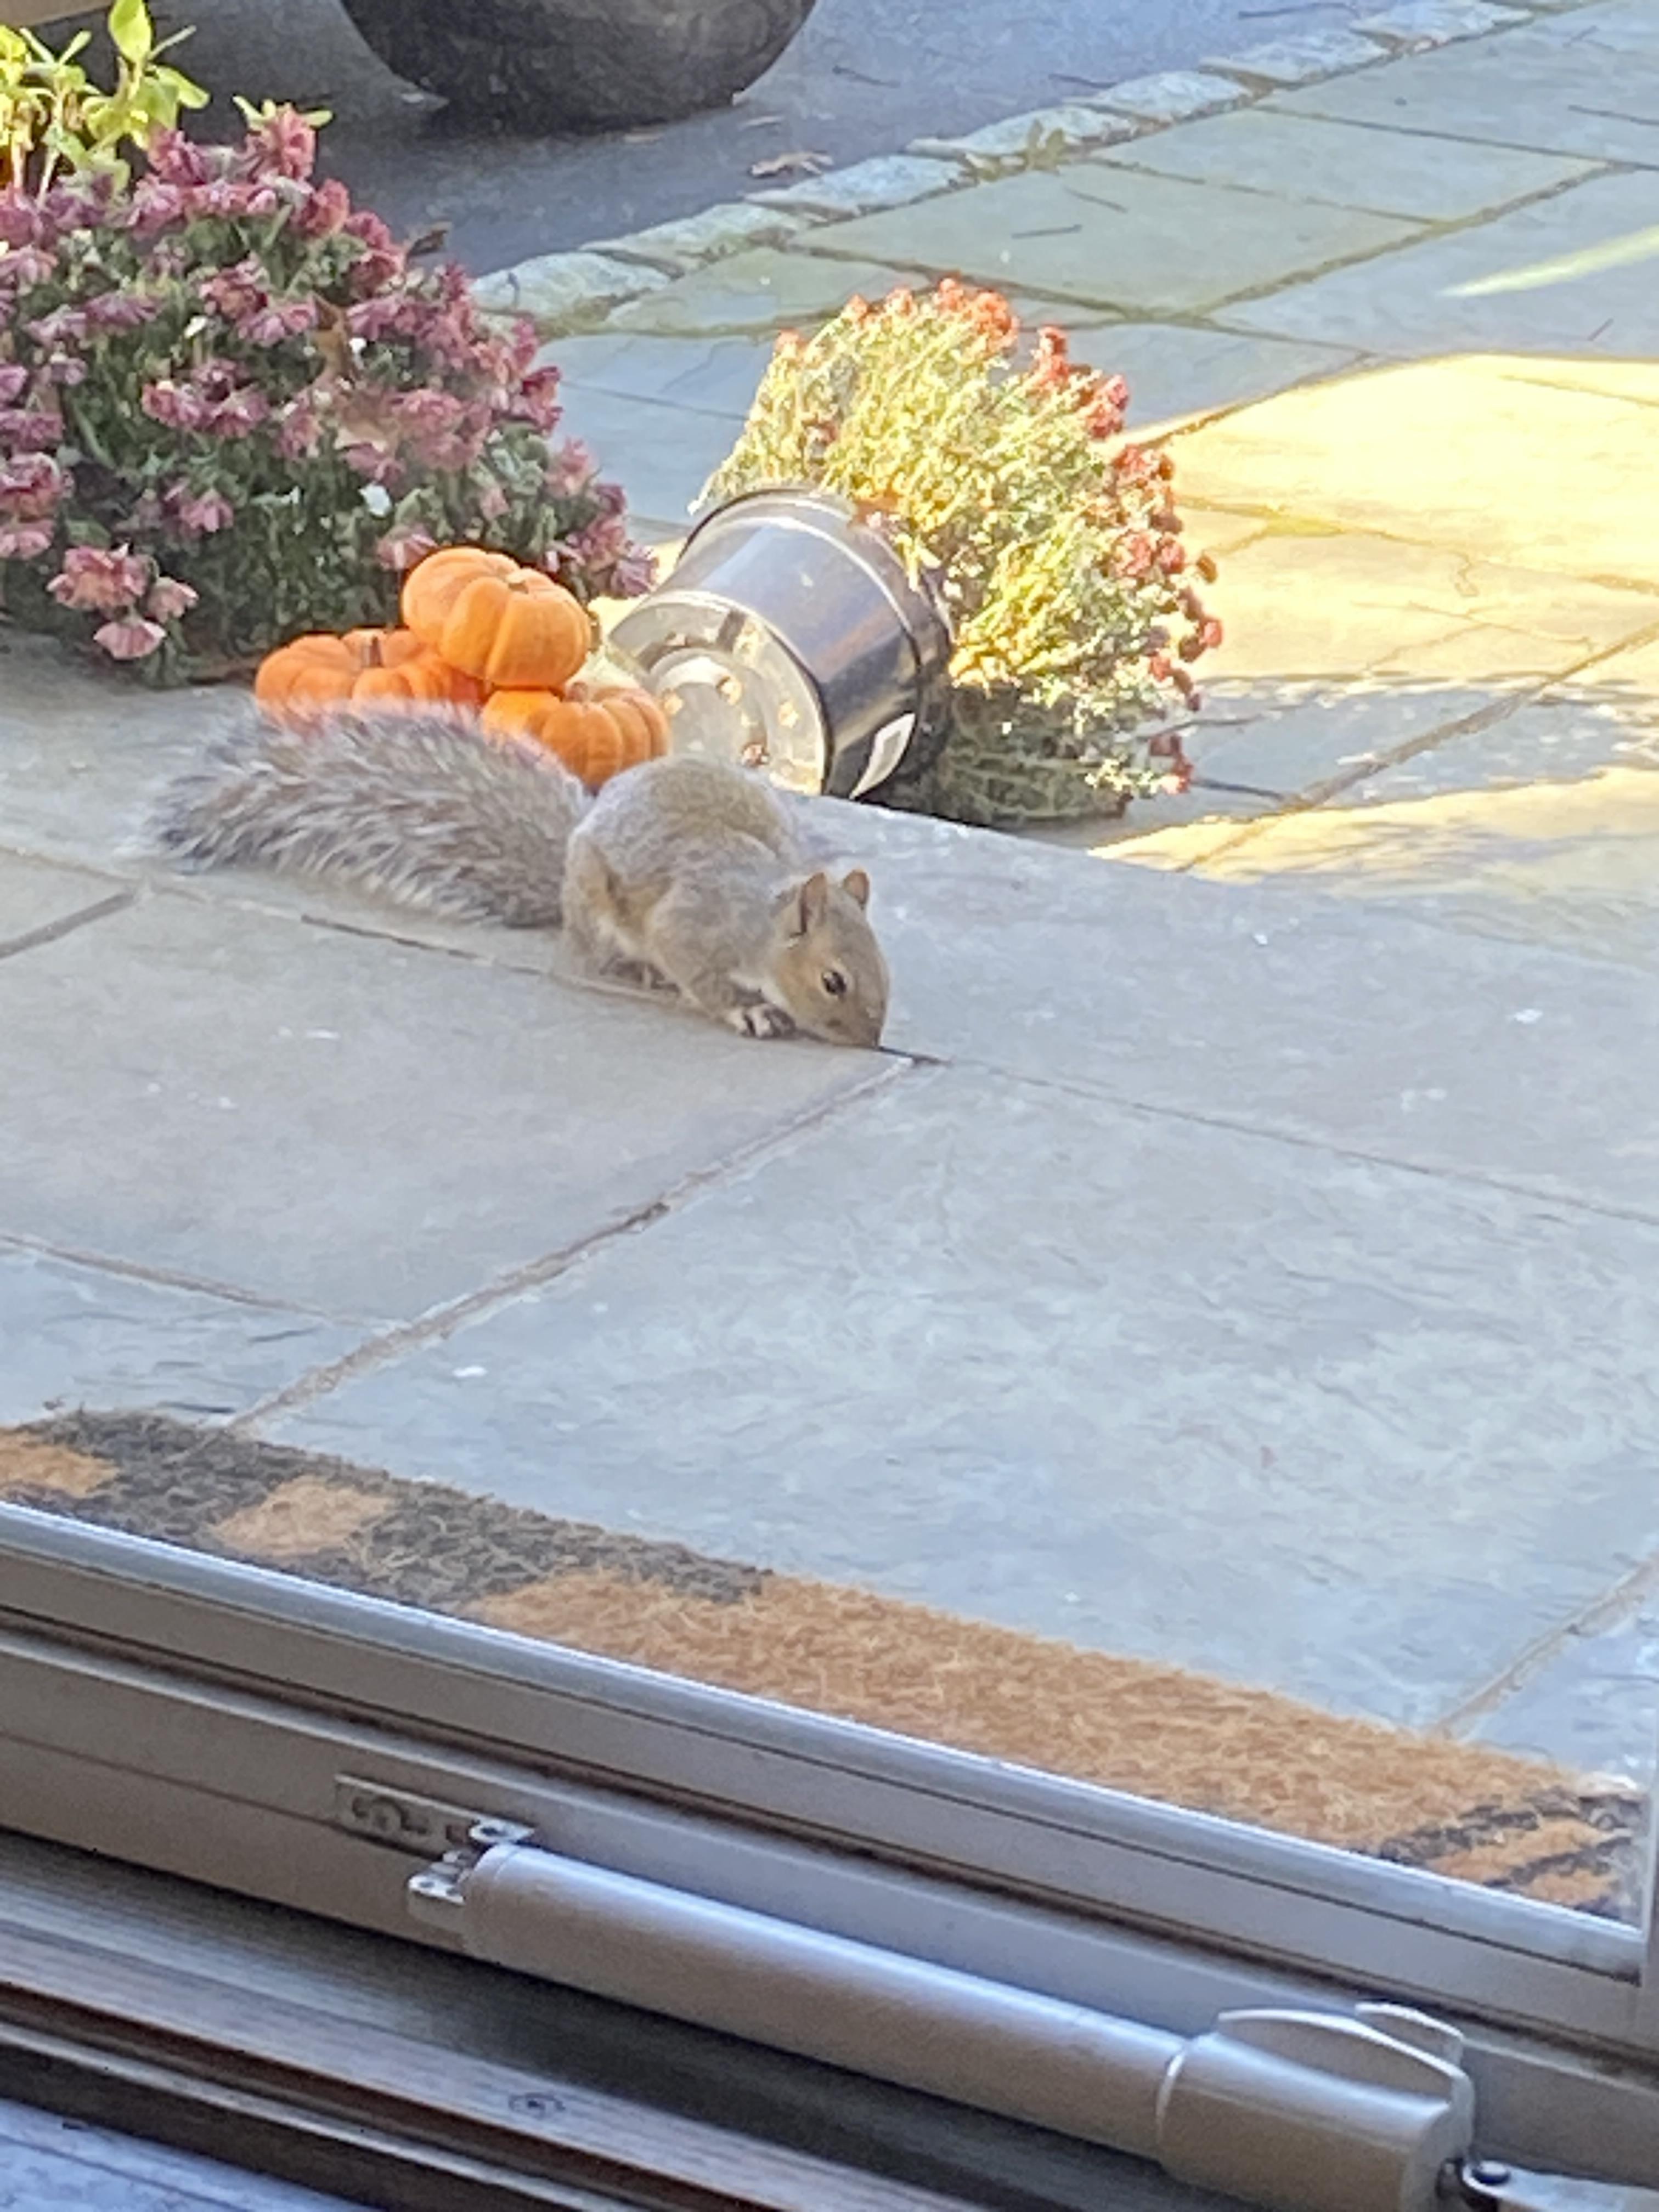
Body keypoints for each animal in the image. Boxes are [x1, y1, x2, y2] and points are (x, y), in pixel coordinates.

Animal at [152, 705, 891, 1048]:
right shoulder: (693, 924)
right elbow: (698, 972)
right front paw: (747, 1010)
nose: (870, 1042)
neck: (759, 925)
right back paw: (634, 969)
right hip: (596, 907)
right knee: (596, 954)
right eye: (833, 981)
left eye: (883, 966)